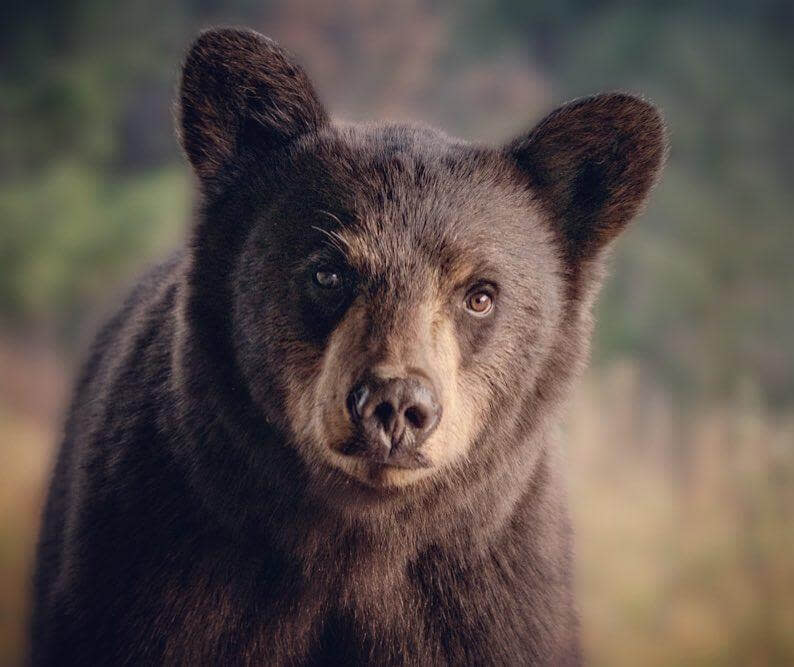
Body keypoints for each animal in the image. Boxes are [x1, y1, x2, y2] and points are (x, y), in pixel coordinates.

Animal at [29, 27, 666, 666]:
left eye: (481, 295)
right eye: (328, 273)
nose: (396, 404)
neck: (358, 542)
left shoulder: (490, 603)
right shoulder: (164, 573)